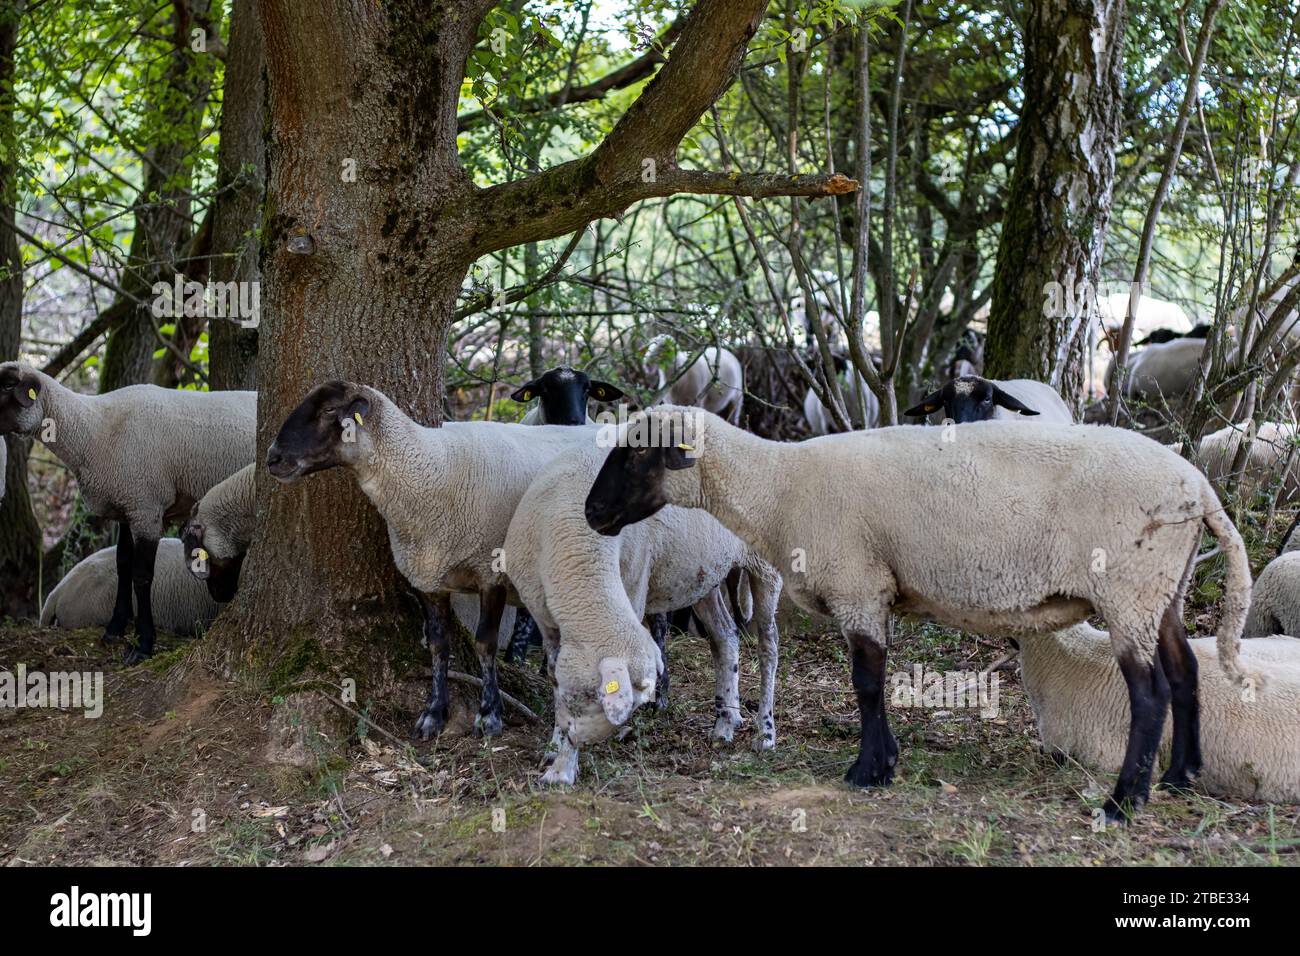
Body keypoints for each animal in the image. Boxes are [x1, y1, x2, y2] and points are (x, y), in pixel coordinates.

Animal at [266, 380, 599, 739]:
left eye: (329, 409)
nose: (272, 458)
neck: (430, 468)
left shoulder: (490, 572)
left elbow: (485, 643)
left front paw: (489, 714)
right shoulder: (428, 576)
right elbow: (438, 645)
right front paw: (433, 714)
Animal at [502, 440, 781, 785]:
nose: (580, 738)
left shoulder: (633, 584)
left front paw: (563, 765)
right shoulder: (545, 616)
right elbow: (554, 675)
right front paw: (555, 747)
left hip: (765, 564)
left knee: (769, 646)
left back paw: (765, 733)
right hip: (704, 573)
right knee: (725, 636)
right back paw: (725, 723)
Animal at [584, 406, 1253, 821]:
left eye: (635, 456)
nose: (592, 514)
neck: (775, 487)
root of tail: (1199, 487)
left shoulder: (858, 584)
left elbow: (866, 681)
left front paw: (868, 770)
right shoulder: (873, 589)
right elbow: (876, 681)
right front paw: (883, 763)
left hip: (1127, 586)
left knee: (1150, 693)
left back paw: (1123, 803)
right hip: (1161, 589)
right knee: (1187, 674)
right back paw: (1180, 777)